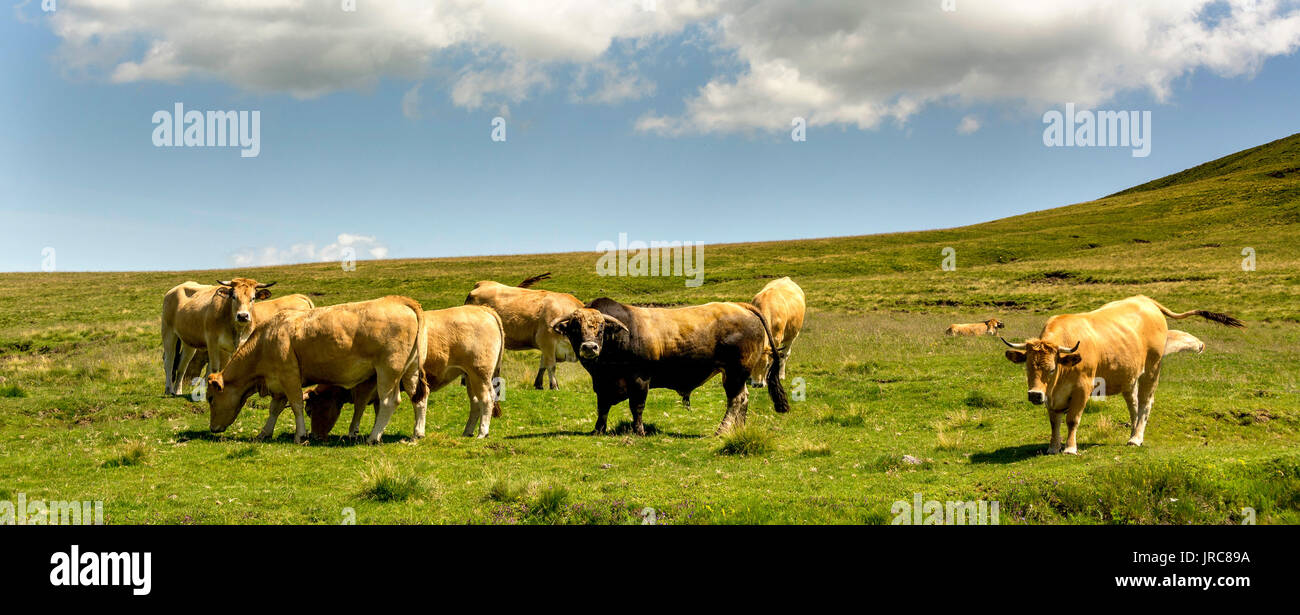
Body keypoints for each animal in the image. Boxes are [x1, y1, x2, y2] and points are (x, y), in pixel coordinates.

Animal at [205, 296, 428, 445]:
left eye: (210, 398)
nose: (212, 429)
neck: (265, 339)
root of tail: (400, 301)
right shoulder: (277, 382)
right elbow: (274, 409)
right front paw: (264, 432)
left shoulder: (289, 376)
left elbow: (296, 405)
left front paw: (300, 435)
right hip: (411, 371)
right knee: (419, 399)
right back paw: (417, 433)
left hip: (388, 371)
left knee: (389, 401)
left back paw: (374, 437)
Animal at [304, 305, 506, 440]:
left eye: (310, 409)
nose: (314, 435)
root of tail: (483, 309)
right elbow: (377, 407)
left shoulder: (367, 384)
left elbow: (360, 406)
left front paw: (354, 431)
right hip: (470, 377)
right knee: (475, 402)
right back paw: (468, 431)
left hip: (480, 373)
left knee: (486, 399)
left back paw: (482, 432)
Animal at [549, 297, 789, 436]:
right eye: (574, 327)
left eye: (600, 327)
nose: (589, 347)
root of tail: (741, 306)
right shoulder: (602, 383)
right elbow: (603, 407)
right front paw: (598, 429)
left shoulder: (640, 379)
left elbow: (636, 407)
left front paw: (638, 431)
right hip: (735, 374)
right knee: (744, 398)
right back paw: (738, 428)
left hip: (735, 372)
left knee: (736, 400)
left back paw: (723, 429)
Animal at [1000, 295, 1242, 454]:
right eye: (1028, 367)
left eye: (1051, 369)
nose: (1034, 395)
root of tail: (1146, 300)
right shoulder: (1052, 395)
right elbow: (1054, 420)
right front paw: (1052, 447)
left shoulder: (1082, 388)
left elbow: (1072, 419)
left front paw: (1069, 448)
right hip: (1129, 375)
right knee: (1133, 404)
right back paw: (1134, 434)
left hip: (1152, 369)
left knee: (1145, 403)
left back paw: (1136, 438)